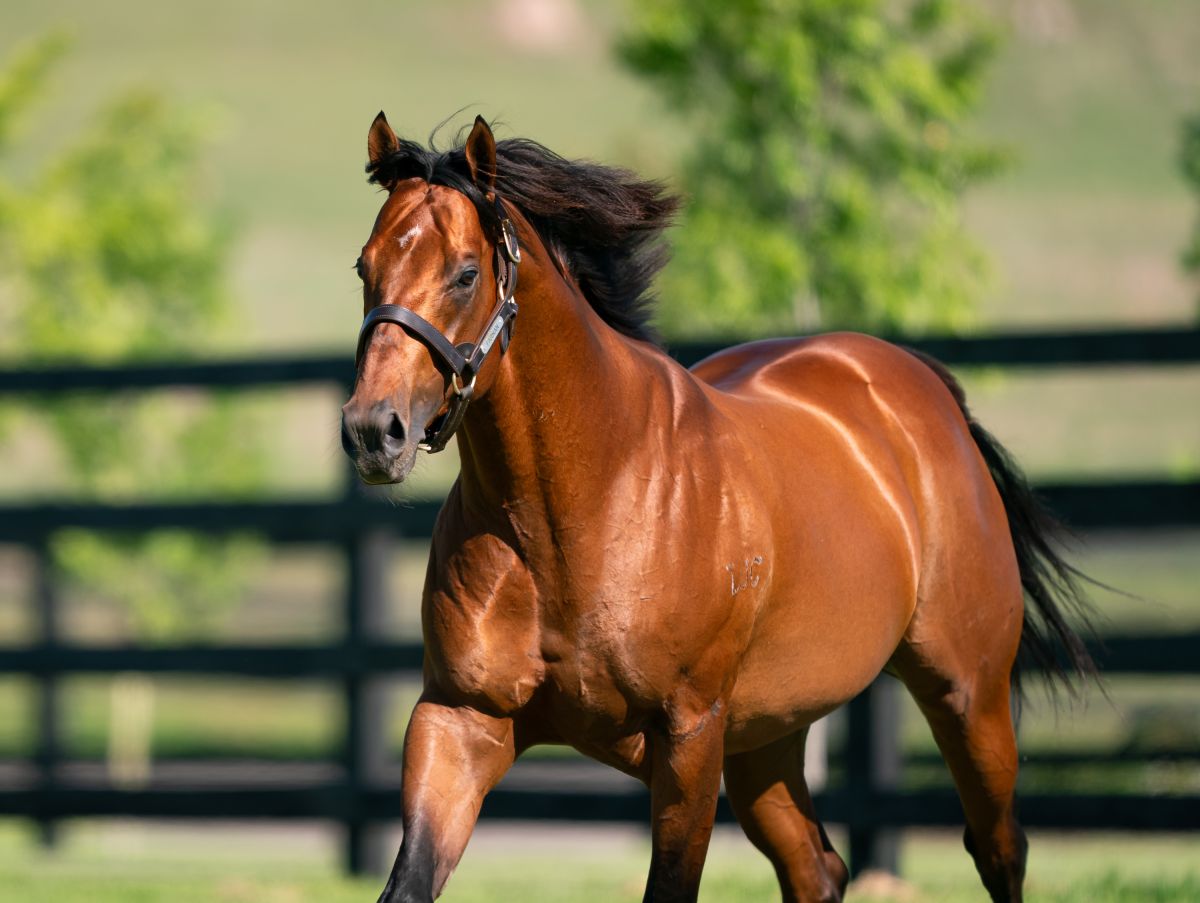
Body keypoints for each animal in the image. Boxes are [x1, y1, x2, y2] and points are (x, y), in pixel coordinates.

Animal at [339, 113, 1096, 903]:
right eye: (365, 267)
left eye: (465, 273)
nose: (373, 430)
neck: (577, 511)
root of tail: (921, 387)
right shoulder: (461, 719)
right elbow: (409, 880)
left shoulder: (691, 734)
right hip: (770, 734)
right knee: (817, 867)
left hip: (967, 695)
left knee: (998, 847)